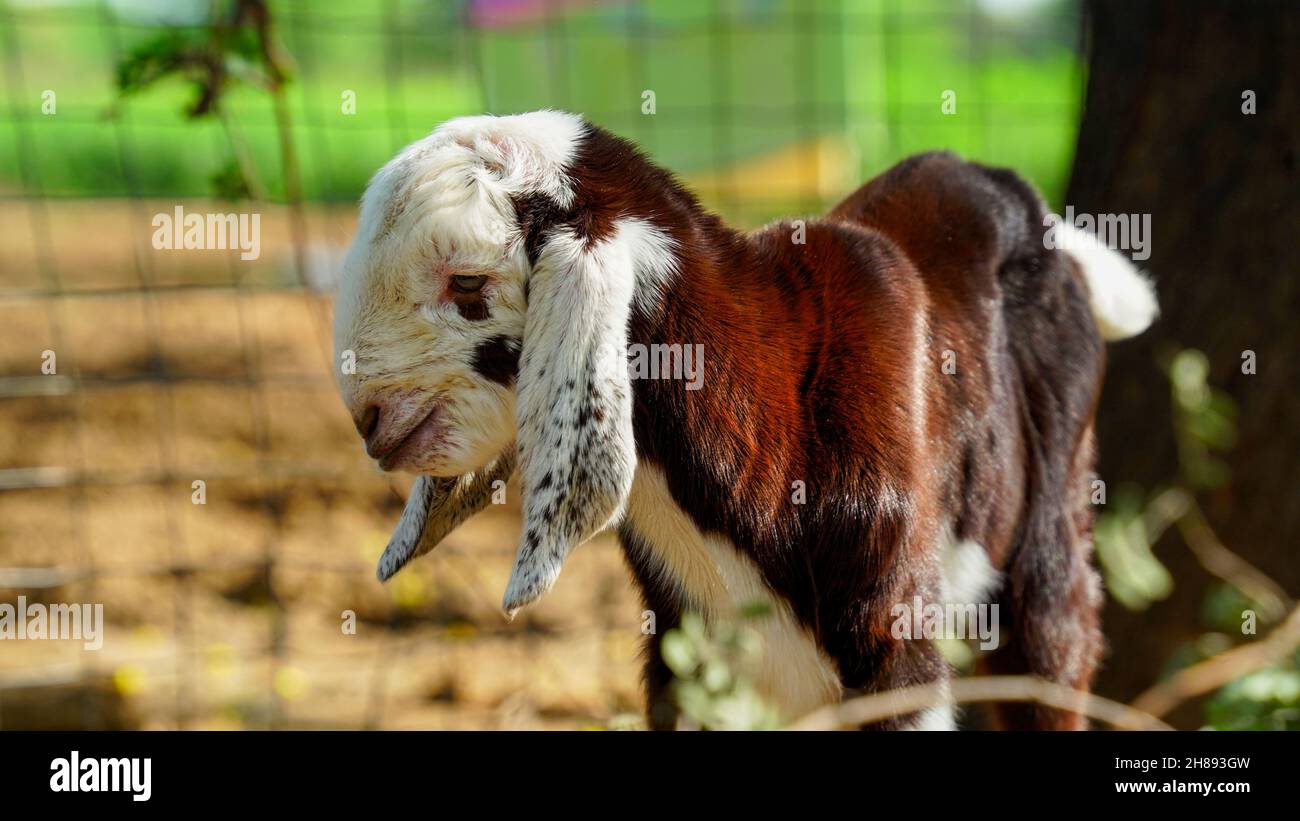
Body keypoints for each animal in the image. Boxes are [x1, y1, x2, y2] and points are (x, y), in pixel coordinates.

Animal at [332, 110, 1157, 730]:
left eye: (467, 284)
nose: (369, 418)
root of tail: (1015, 195)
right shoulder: (683, 653)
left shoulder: (895, 644)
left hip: (1049, 536)